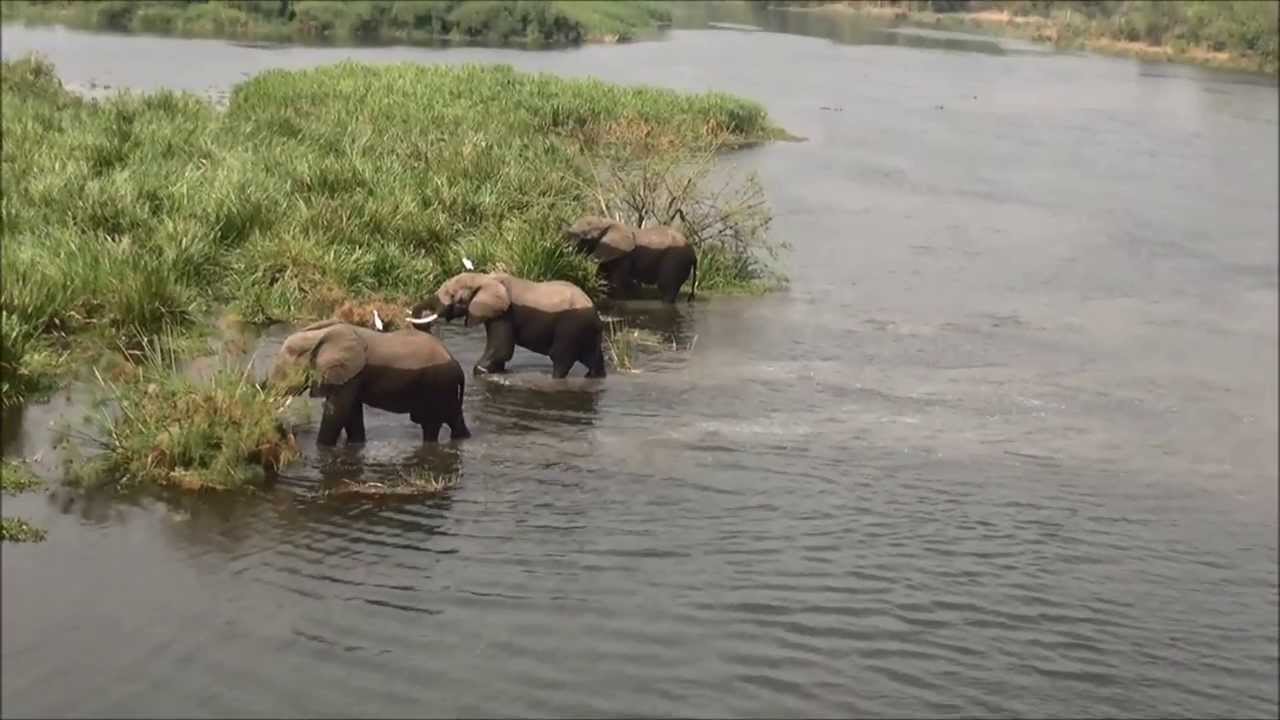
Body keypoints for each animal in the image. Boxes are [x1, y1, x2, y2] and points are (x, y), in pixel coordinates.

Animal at [267, 319, 470, 446]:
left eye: (286, 368)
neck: (319, 335)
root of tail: (458, 366)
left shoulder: (351, 373)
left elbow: (337, 412)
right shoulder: (352, 376)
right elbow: (351, 413)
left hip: (438, 385)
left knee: (433, 423)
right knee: (450, 419)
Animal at [408, 272, 607, 380]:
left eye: (452, 296)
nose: (431, 327)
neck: (485, 278)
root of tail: (595, 313)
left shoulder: (506, 312)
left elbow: (501, 349)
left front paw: (481, 371)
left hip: (571, 326)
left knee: (560, 359)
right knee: (592, 358)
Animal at [564, 215, 698, 304]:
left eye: (585, 238)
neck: (608, 222)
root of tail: (694, 254)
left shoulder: (625, 255)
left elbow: (616, 280)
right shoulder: (609, 252)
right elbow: (602, 275)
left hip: (676, 260)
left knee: (666, 286)